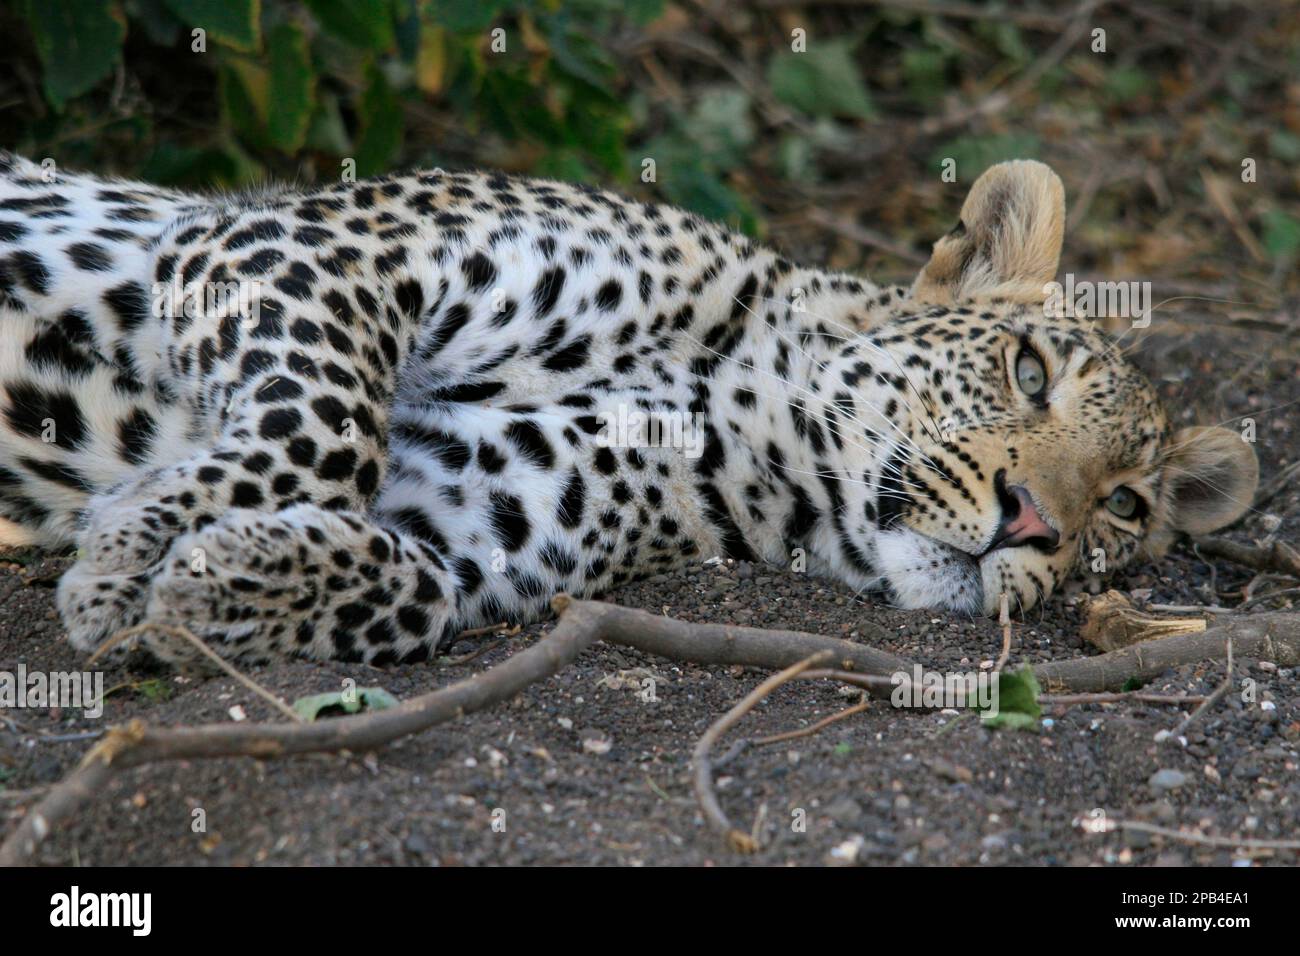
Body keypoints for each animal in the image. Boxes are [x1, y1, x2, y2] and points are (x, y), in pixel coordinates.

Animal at [0, 151, 1258, 667]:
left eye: (1123, 507)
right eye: (1027, 370)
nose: (1035, 523)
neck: (745, 423)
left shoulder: (477, 528)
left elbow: (405, 585)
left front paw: (201, 582)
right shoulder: (304, 245)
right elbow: (325, 429)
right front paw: (127, 554)